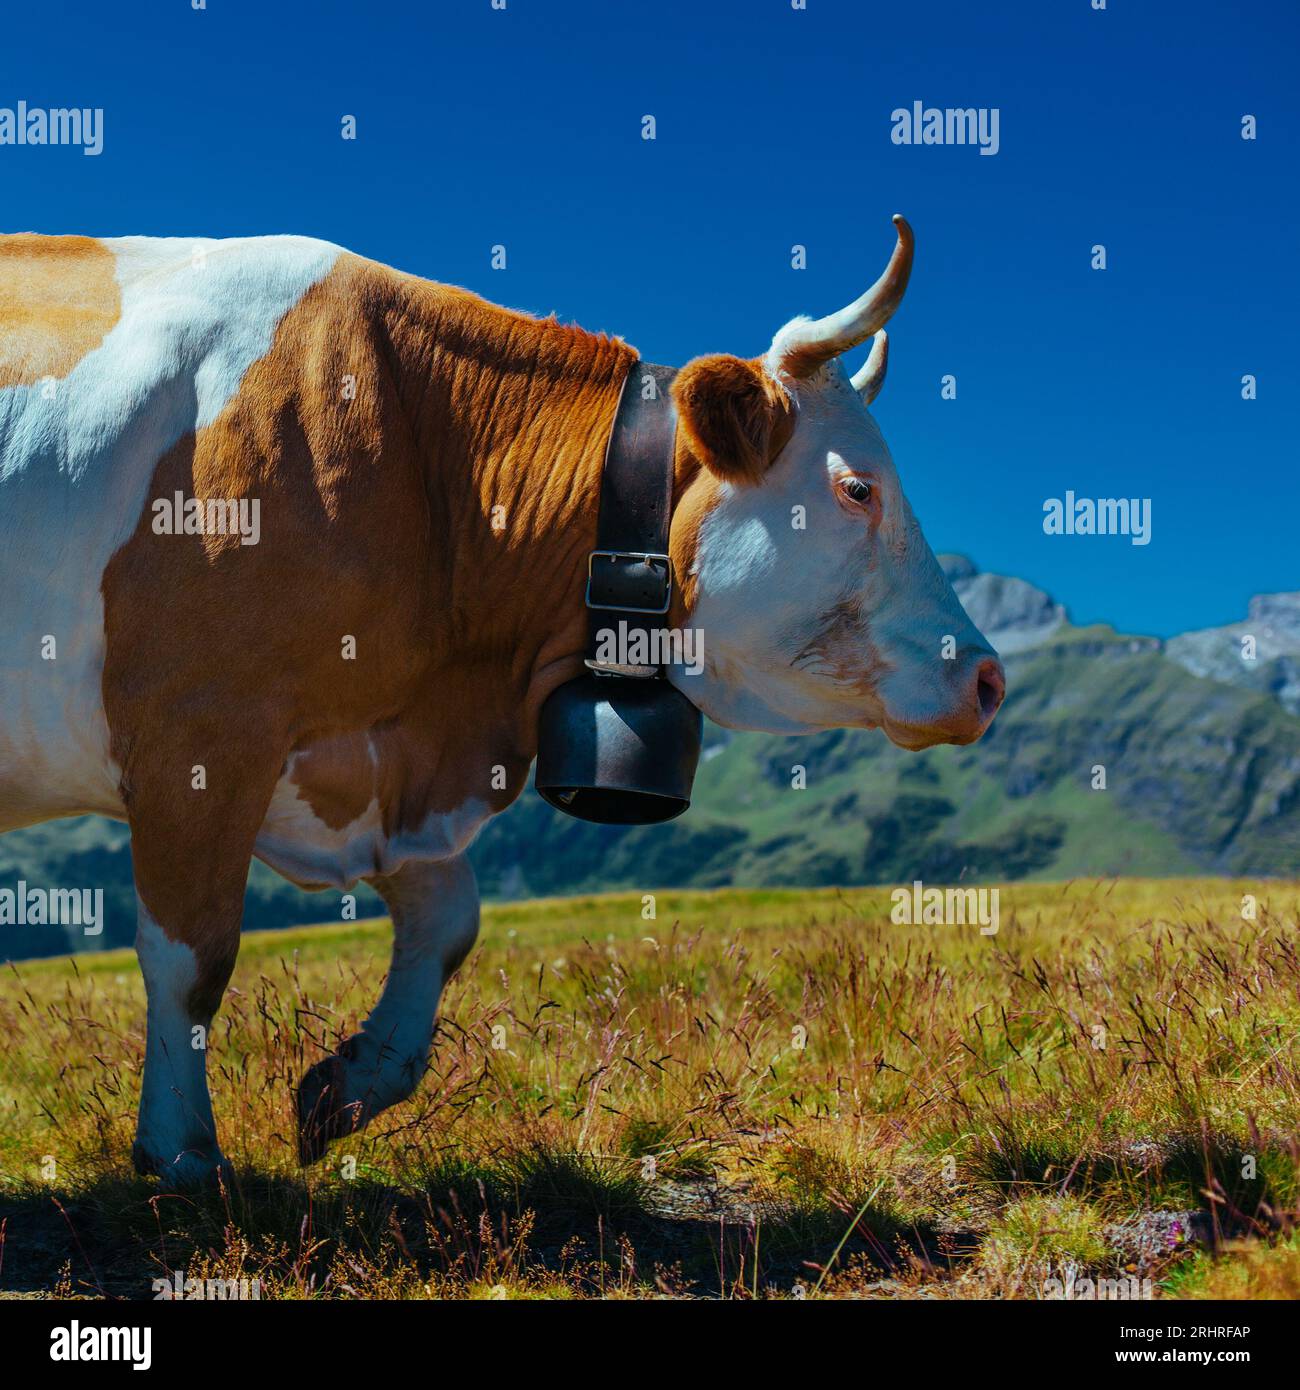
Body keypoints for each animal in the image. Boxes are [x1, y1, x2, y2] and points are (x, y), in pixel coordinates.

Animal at [0, 218, 1004, 1186]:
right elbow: (193, 958)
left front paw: (347, 1086)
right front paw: (181, 1153)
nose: (987, 679)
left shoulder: (357, 767)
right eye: (857, 489)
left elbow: (449, 921)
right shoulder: (201, 730)